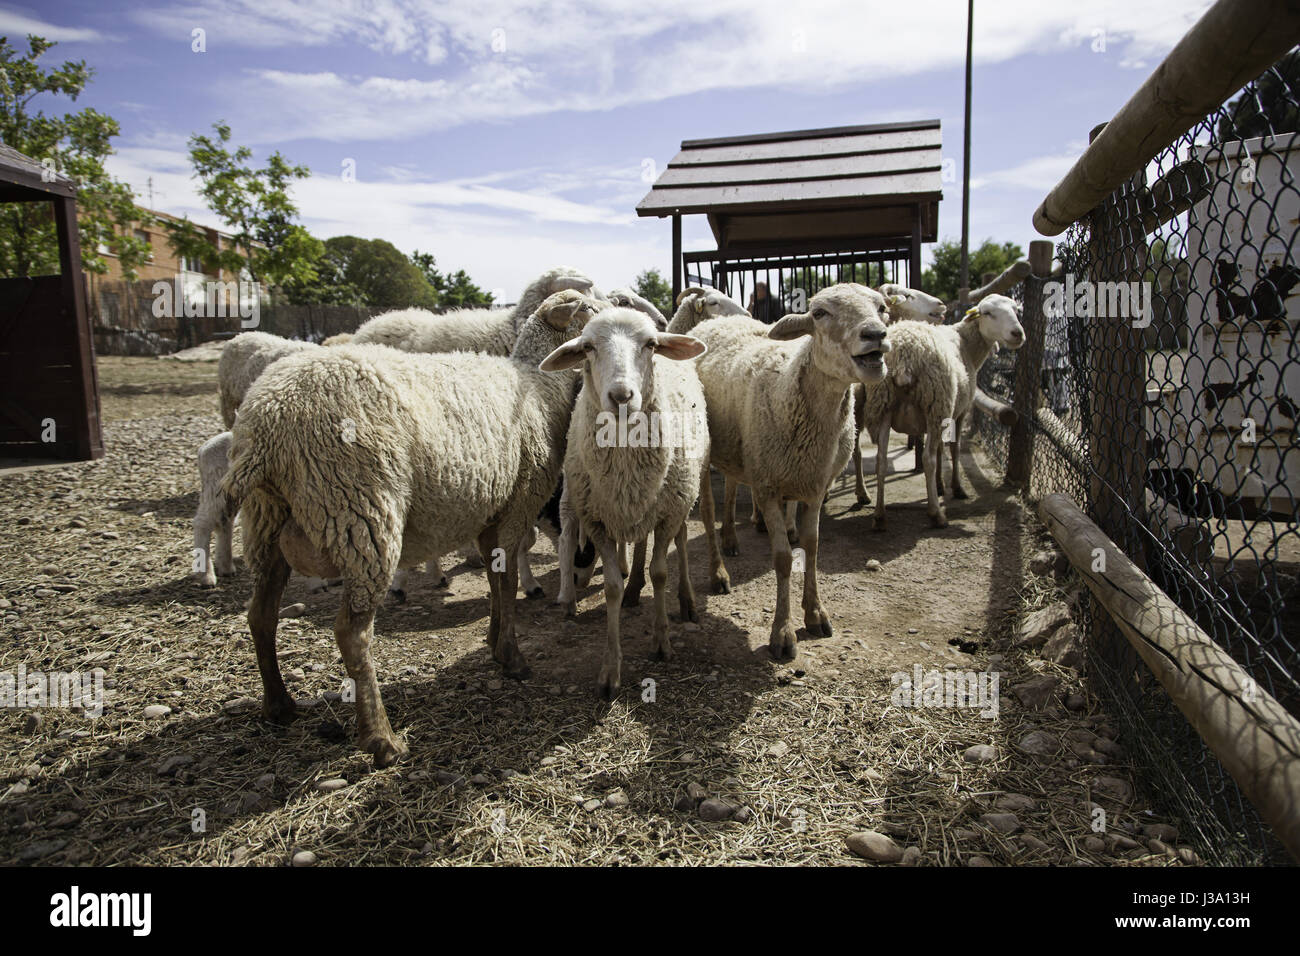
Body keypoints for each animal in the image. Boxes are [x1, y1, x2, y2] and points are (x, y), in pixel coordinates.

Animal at [221, 290, 601, 766]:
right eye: (591, 308)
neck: (537, 384)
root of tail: (265, 424)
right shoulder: (517, 504)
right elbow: (509, 581)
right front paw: (512, 658)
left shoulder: (490, 512)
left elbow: (495, 582)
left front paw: (494, 639)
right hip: (360, 514)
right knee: (351, 633)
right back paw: (381, 739)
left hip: (266, 523)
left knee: (261, 614)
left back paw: (279, 705)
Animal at [540, 309, 708, 697]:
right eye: (588, 347)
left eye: (650, 344)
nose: (620, 396)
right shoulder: (597, 519)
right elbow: (612, 588)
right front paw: (610, 669)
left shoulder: (669, 513)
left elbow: (661, 573)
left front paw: (662, 642)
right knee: (638, 540)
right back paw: (632, 587)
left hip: (684, 495)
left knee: (680, 542)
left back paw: (687, 599)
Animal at [691, 284, 891, 660]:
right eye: (819, 313)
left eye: (882, 307)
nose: (876, 334)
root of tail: (713, 324)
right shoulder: (768, 488)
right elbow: (783, 559)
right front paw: (782, 633)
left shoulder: (815, 485)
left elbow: (812, 547)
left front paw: (815, 614)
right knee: (708, 510)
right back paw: (718, 572)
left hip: (740, 448)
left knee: (731, 485)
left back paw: (731, 538)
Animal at [857, 293, 1025, 530]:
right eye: (988, 313)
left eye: (1016, 310)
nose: (1017, 334)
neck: (967, 346)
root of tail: (905, 353)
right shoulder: (959, 411)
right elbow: (953, 449)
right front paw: (956, 487)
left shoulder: (943, 414)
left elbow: (939, 449)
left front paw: (938, 485)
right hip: (935, 402)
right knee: (927, 459)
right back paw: (936, 514)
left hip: (884, 405)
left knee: (881, 460)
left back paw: (880, 516)